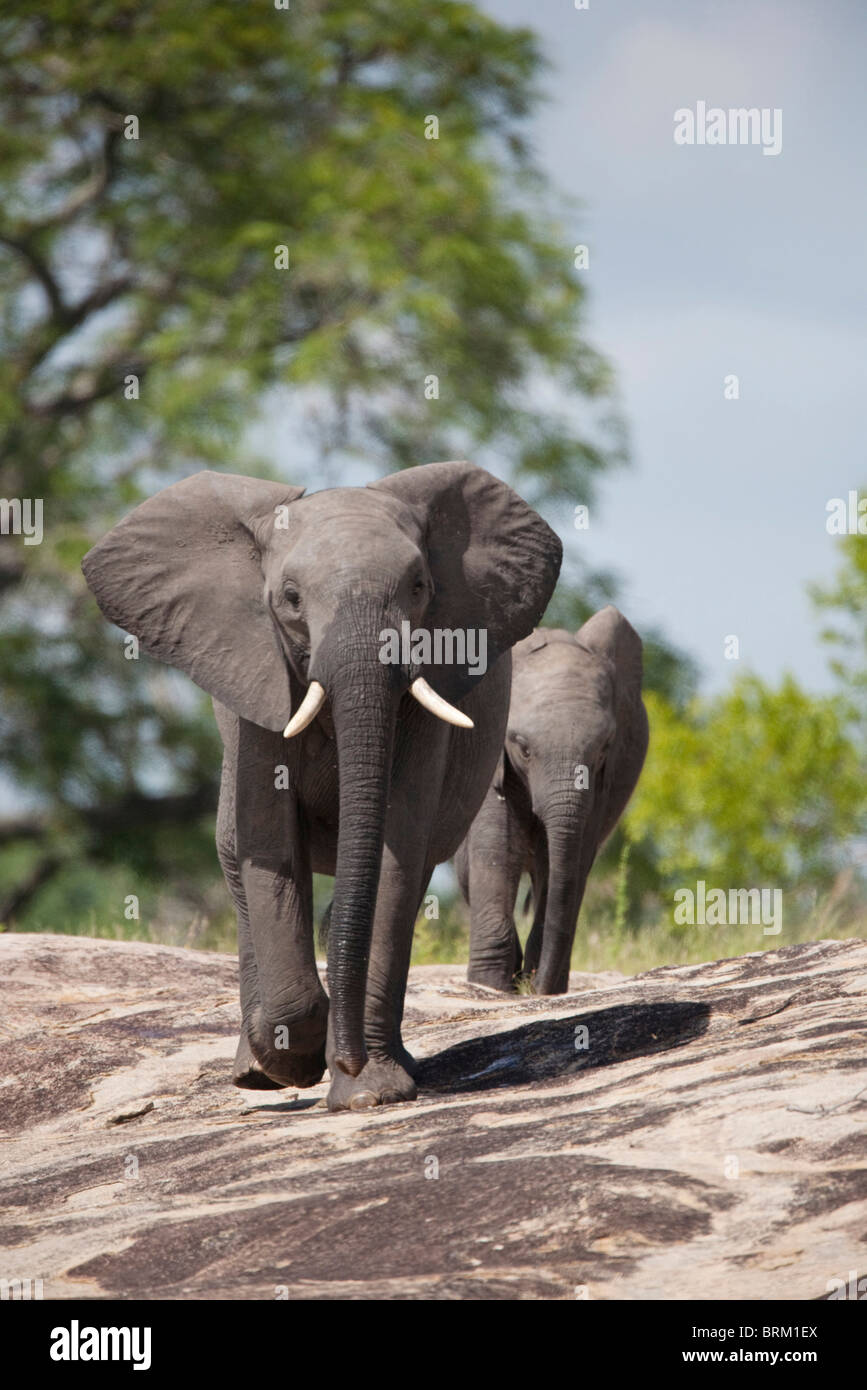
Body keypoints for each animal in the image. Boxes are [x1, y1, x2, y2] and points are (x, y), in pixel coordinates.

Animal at [82, 461, 561, 1110]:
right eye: (290, 598)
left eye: (418, 587)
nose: (349, 1060)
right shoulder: (258, 683)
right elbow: (271, 846)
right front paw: (290, 1056)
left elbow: (394, 853)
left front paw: (371, 1091)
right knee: (236, 858)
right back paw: (255, 1070)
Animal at [455, 607, 648, 995]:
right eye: (523, 748)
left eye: (604, 747)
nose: (534, 988)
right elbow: (498, 849)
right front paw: (490, 987)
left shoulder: (605, 780)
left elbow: (567, 860)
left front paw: (539, 984)